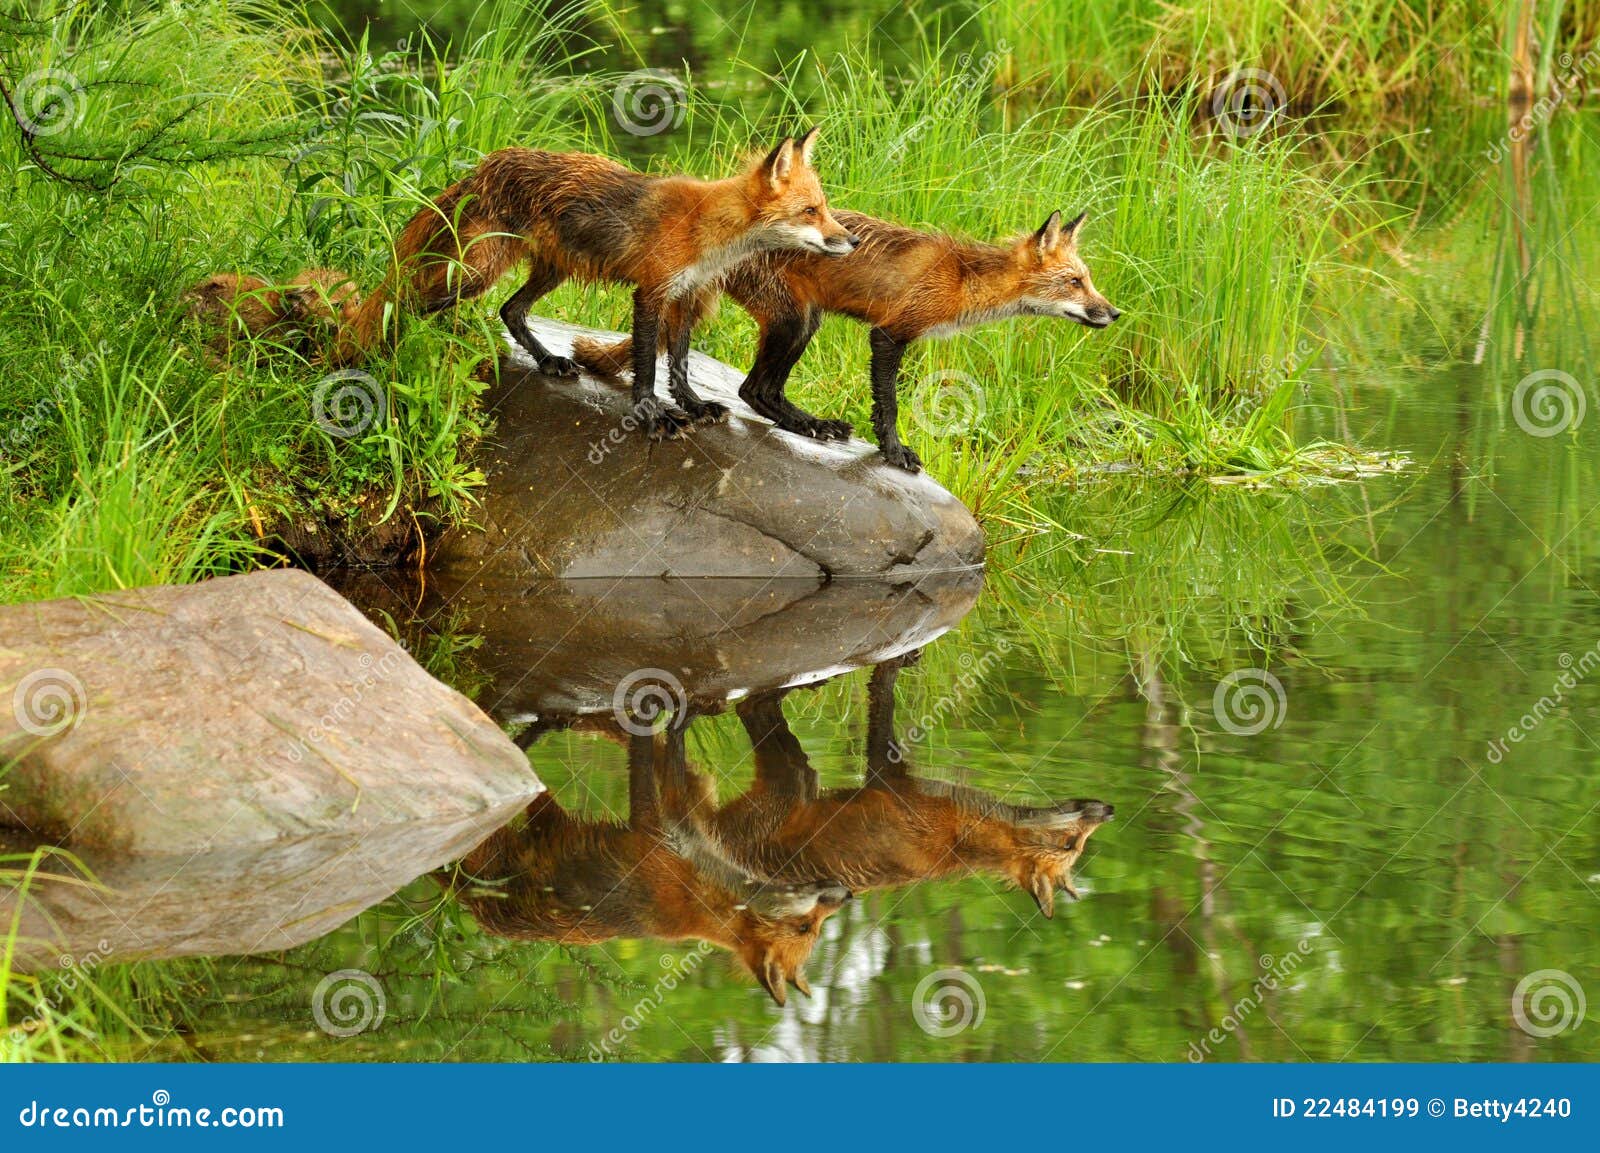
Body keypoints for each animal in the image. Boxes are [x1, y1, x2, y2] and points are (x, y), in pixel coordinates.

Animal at [336, 129, 858, 439]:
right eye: (811, 211)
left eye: (825, 208)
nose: (852, 241)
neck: (708, 233)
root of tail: (487, 165)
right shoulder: (652, 291)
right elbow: (648, 365)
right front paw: (653, 413)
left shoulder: (685, 295)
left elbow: (680, 363)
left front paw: (692, 405)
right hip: (476, 272)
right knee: (405, 302)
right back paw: (384, 354)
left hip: (552, 270)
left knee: (509, 311)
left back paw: (547, 360)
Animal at [455, 721, 851, 1007]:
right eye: (806, 928)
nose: (847, 894)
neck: (703, 883)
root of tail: (475, 907)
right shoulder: (665, 824)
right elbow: (661, 750)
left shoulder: (664, 824)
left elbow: (657, 756)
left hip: (547, 827)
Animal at [572, 208, 1119, 470]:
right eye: (1075, 283)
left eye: (1089, 280)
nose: (1114, 312)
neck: (963, 280)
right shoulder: (890, 333)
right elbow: (890, 405)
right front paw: (894, 453)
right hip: (794, 320)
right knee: (753, 388)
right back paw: (809, 425)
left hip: (799, 321)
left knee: (736, 378)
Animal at [659, 656, 1114, 920]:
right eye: (1072, 842)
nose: (1110, 810)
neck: (959, 836)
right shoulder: (887, 775)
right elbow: (886, 693)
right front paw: (894, 664)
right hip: (792, 787)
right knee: (744, 708)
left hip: (795, 774)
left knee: (753, 706)